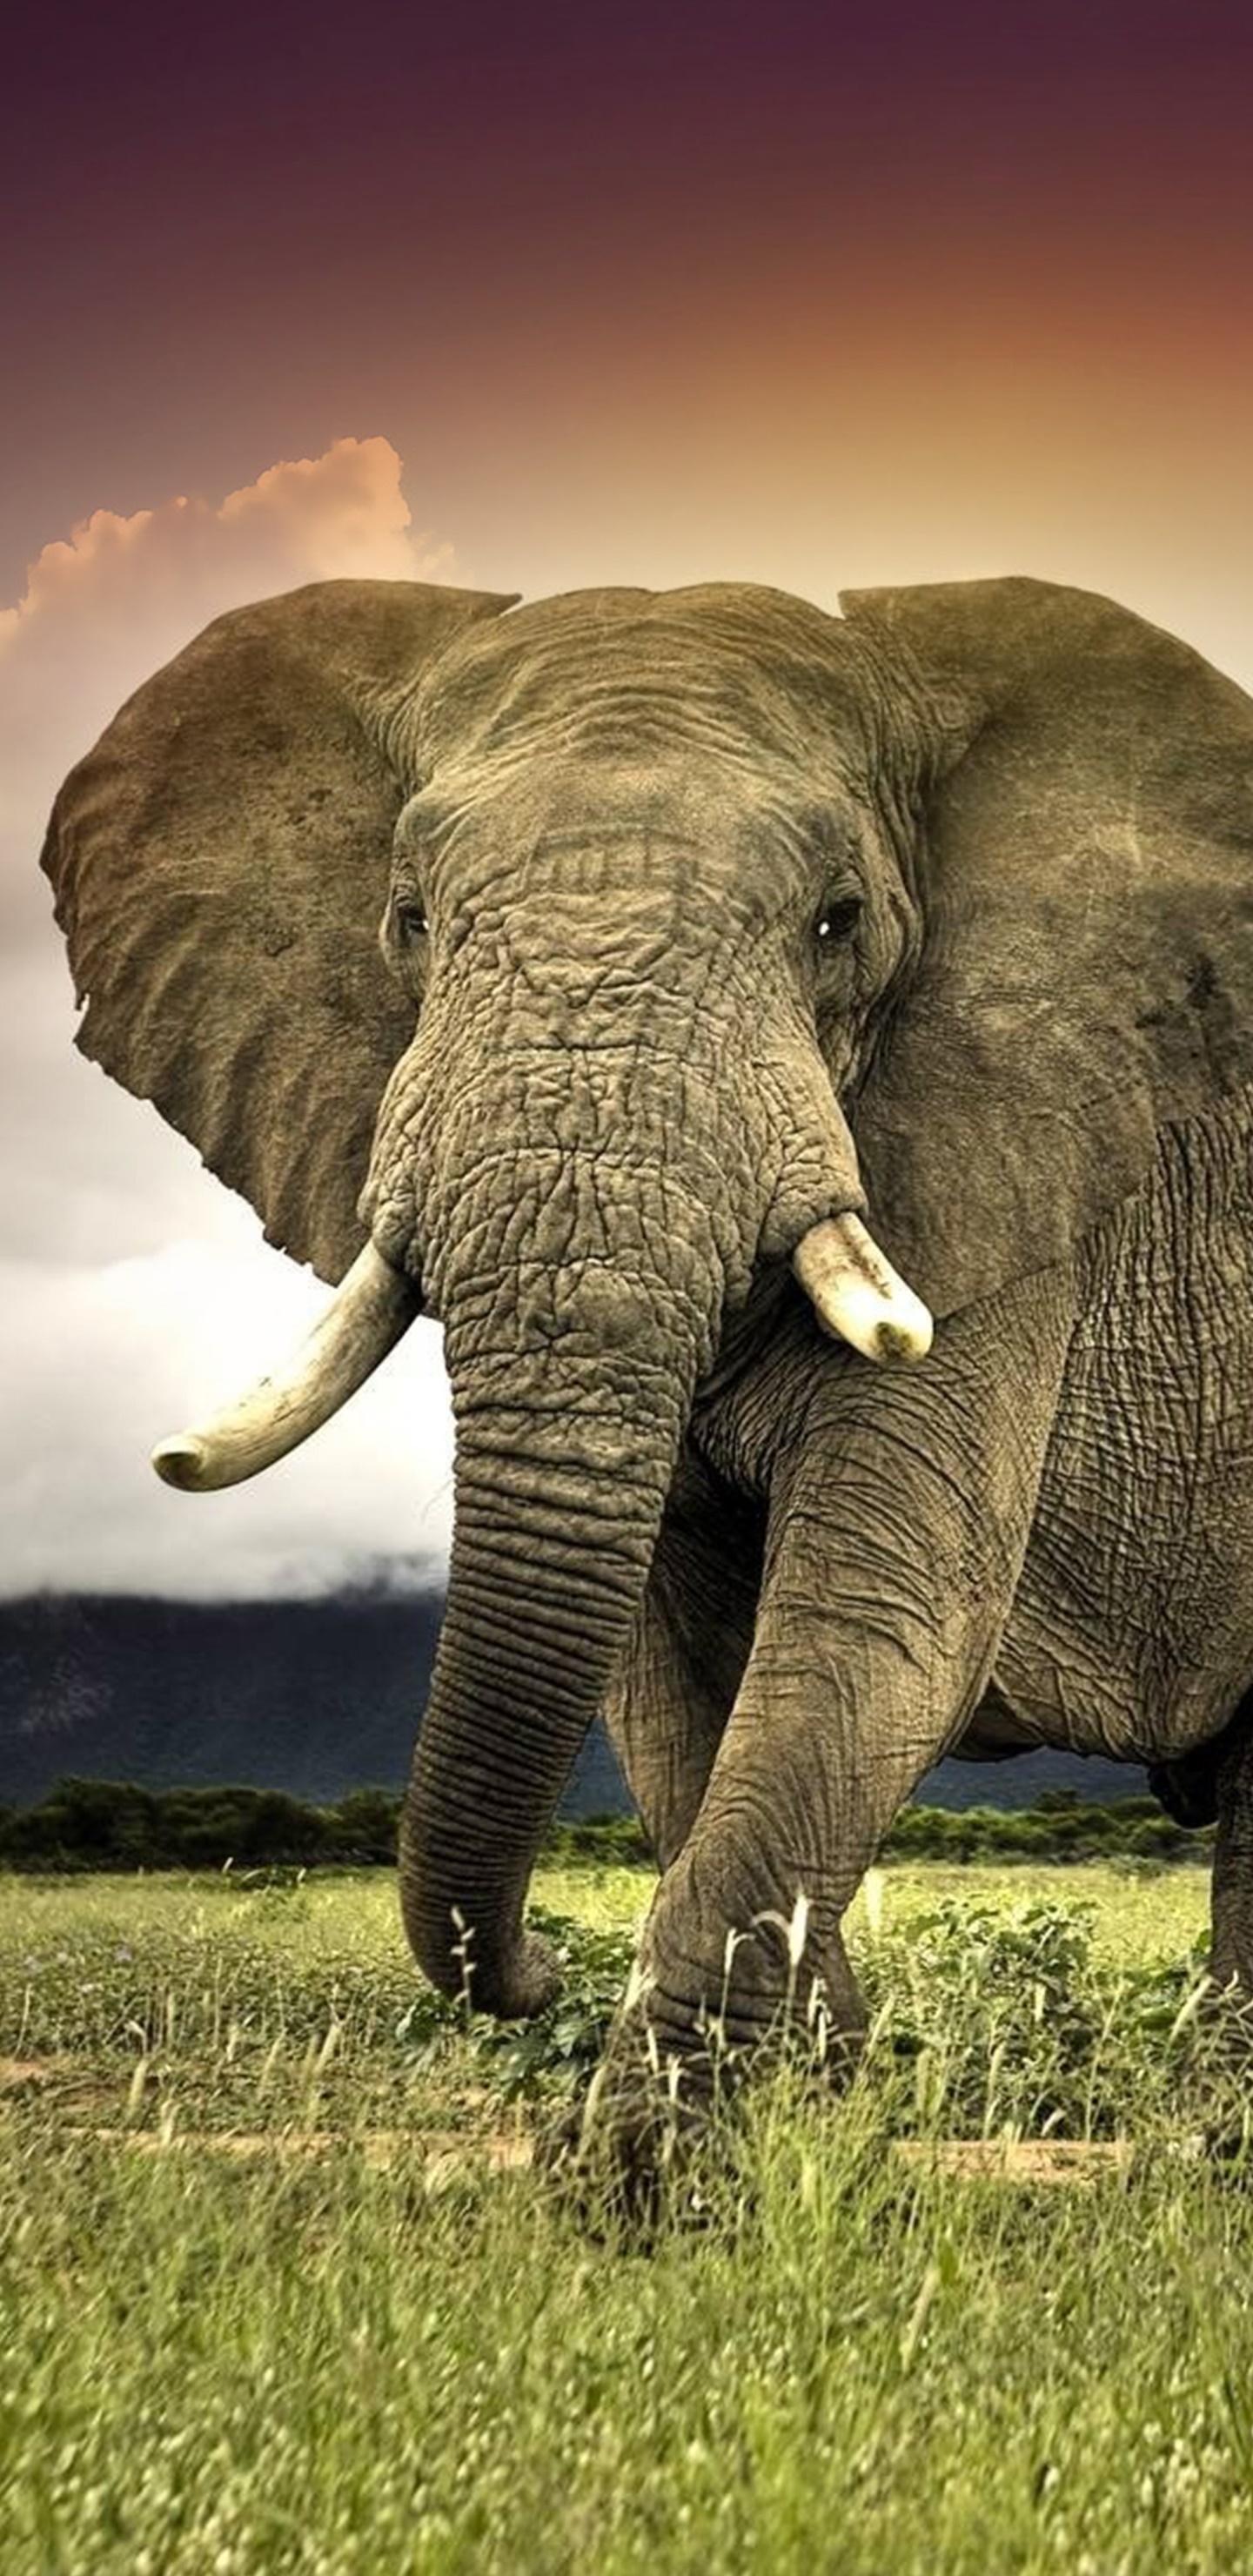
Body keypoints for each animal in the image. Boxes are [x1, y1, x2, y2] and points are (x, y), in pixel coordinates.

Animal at [41, 570, 1253, 2175]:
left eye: (837, 920)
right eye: (409, 921)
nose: (536, 1966)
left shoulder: (1011, 1170)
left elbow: (878, 1617)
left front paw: (648, 2185)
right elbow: (668, 1675)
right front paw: (798, 2130)